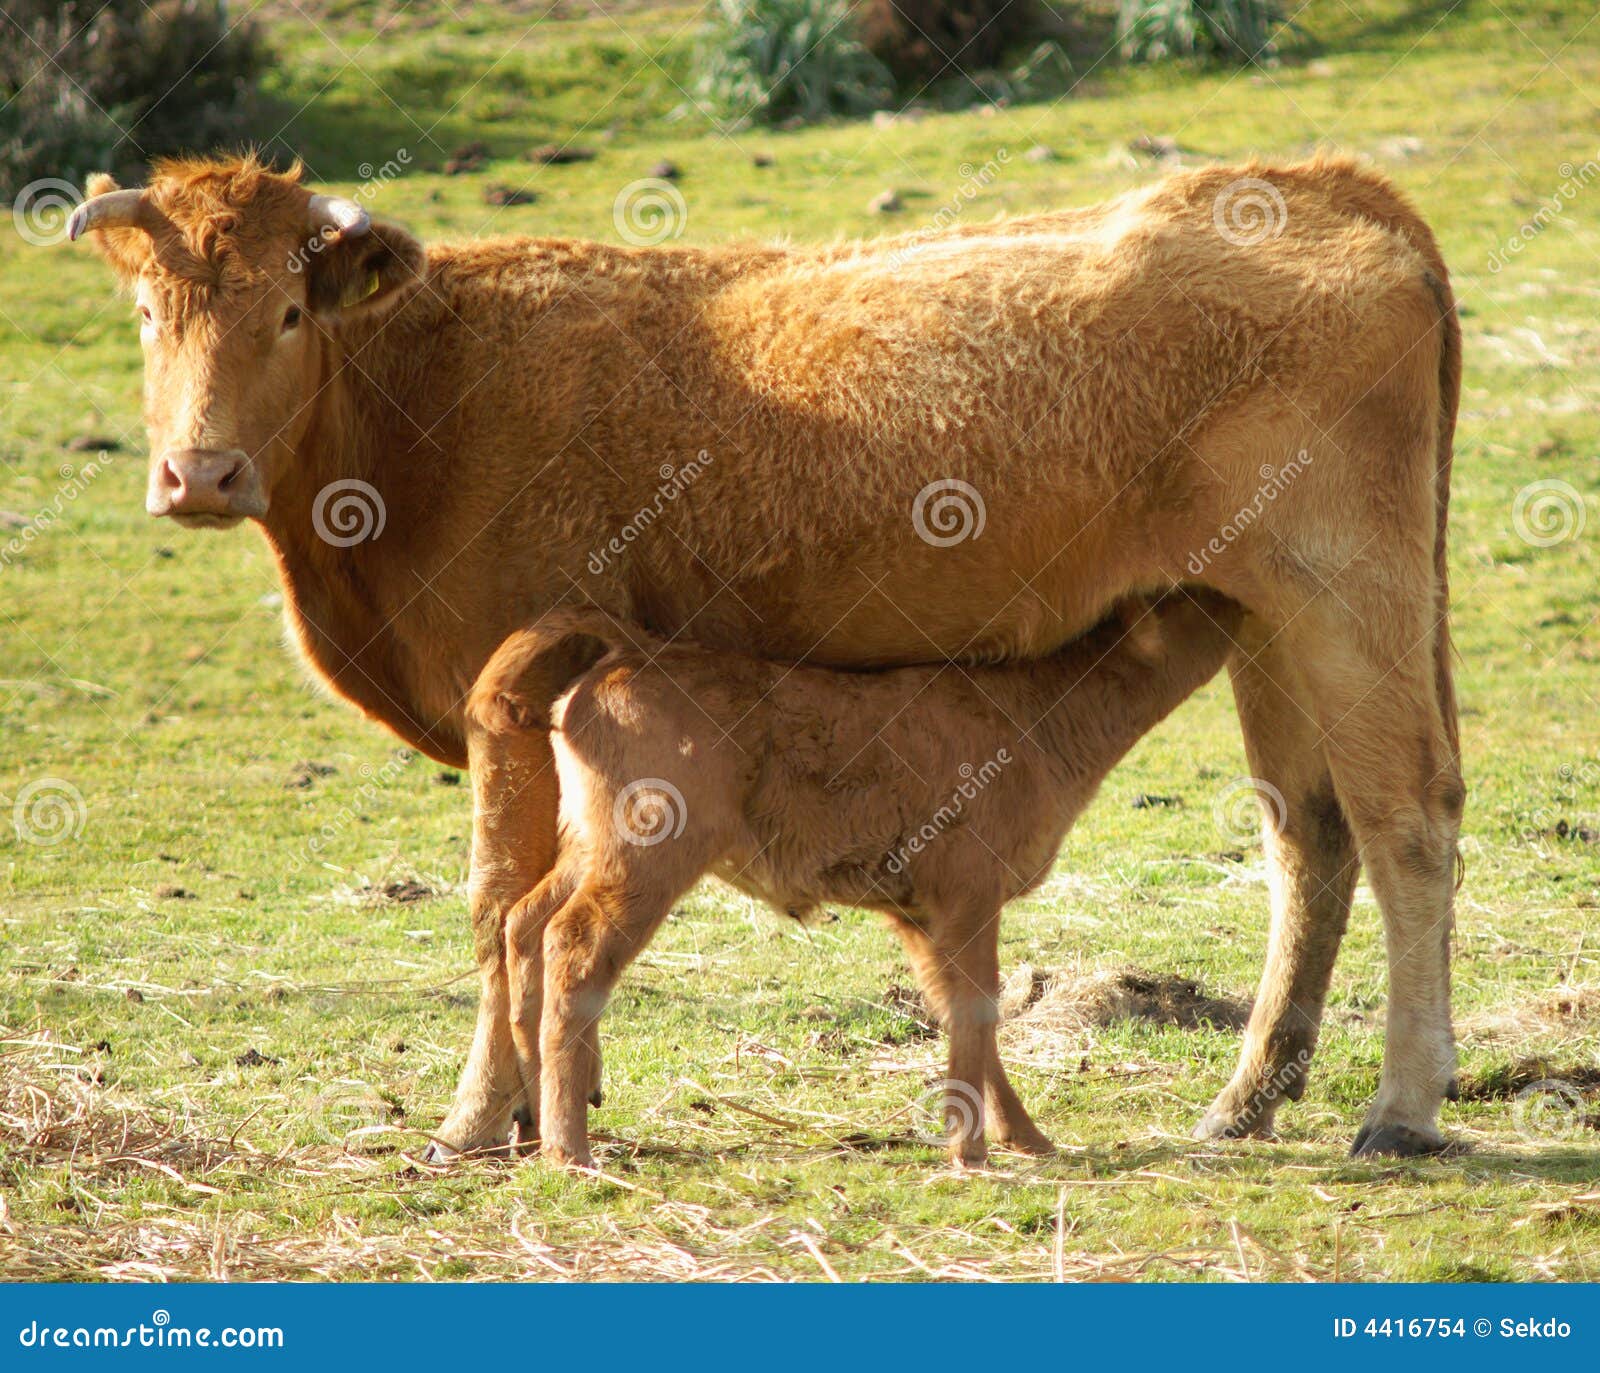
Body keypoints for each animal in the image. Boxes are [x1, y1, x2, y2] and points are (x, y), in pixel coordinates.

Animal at [468, 589, 1246, 1167]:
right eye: (1190, 598)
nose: (1241, 604)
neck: (1036, 717)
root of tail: (638, 650)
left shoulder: (923, 909)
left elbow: (958, 1006)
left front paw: (1023, 1137)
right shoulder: (969, 891)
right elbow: (976, 1007)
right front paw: (972, 1153)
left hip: (588, 846)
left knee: (525, 922)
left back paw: (536, 1120)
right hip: (646, 855)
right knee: (574, 945)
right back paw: (570, 1148)